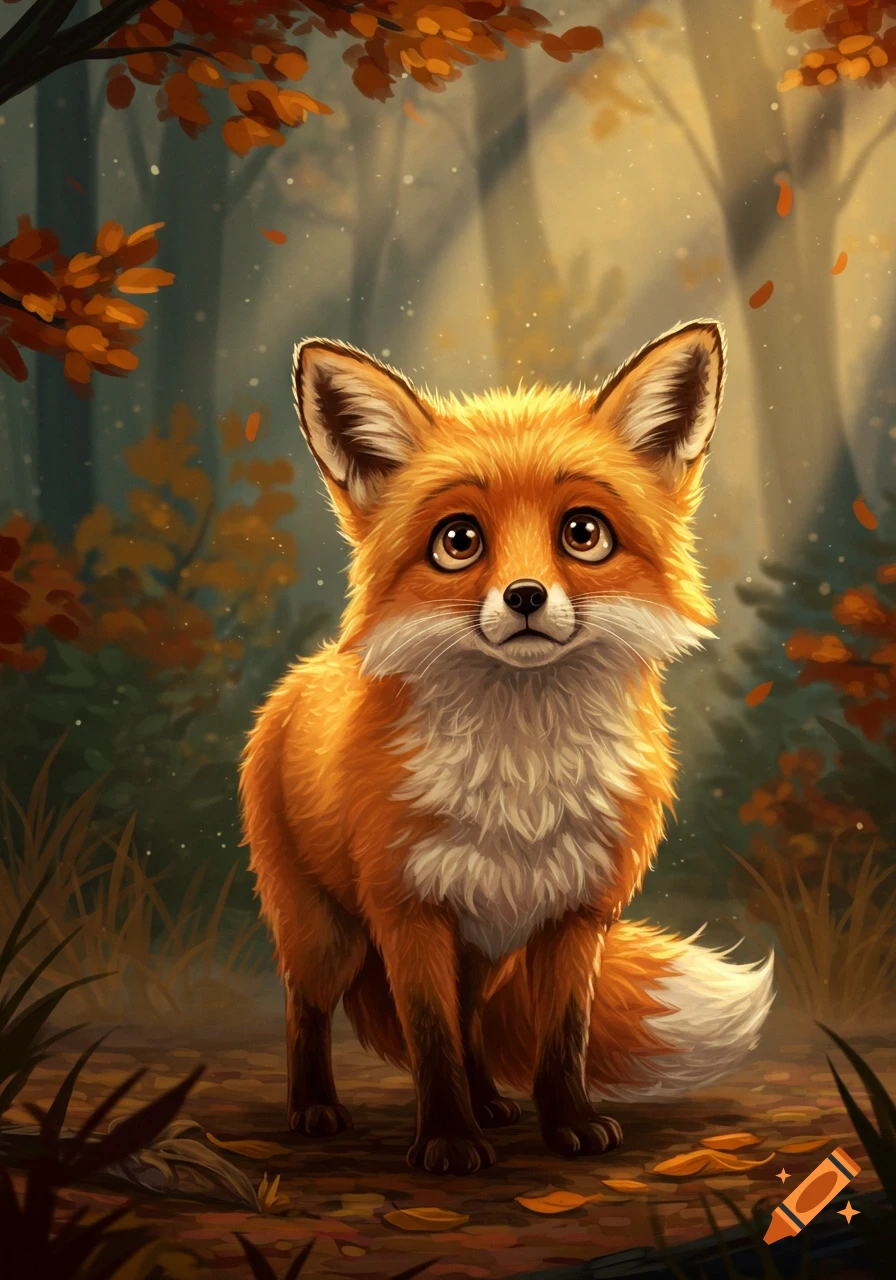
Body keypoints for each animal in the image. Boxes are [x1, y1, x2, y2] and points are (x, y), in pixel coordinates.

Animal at [239, 318, 775, 1176]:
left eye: (582, 533)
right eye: (459, 541)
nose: (525, 597)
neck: (523, 773)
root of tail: (300, 675)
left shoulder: (574, 914)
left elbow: (560, 1040)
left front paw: (568, 1127)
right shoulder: (409, 910)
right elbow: (430, 1040)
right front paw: (447, 1141)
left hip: (487, 951)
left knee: (473, 1024)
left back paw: (492, 1103)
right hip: (327, 930)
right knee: (308, 1009)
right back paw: (316, 1108)